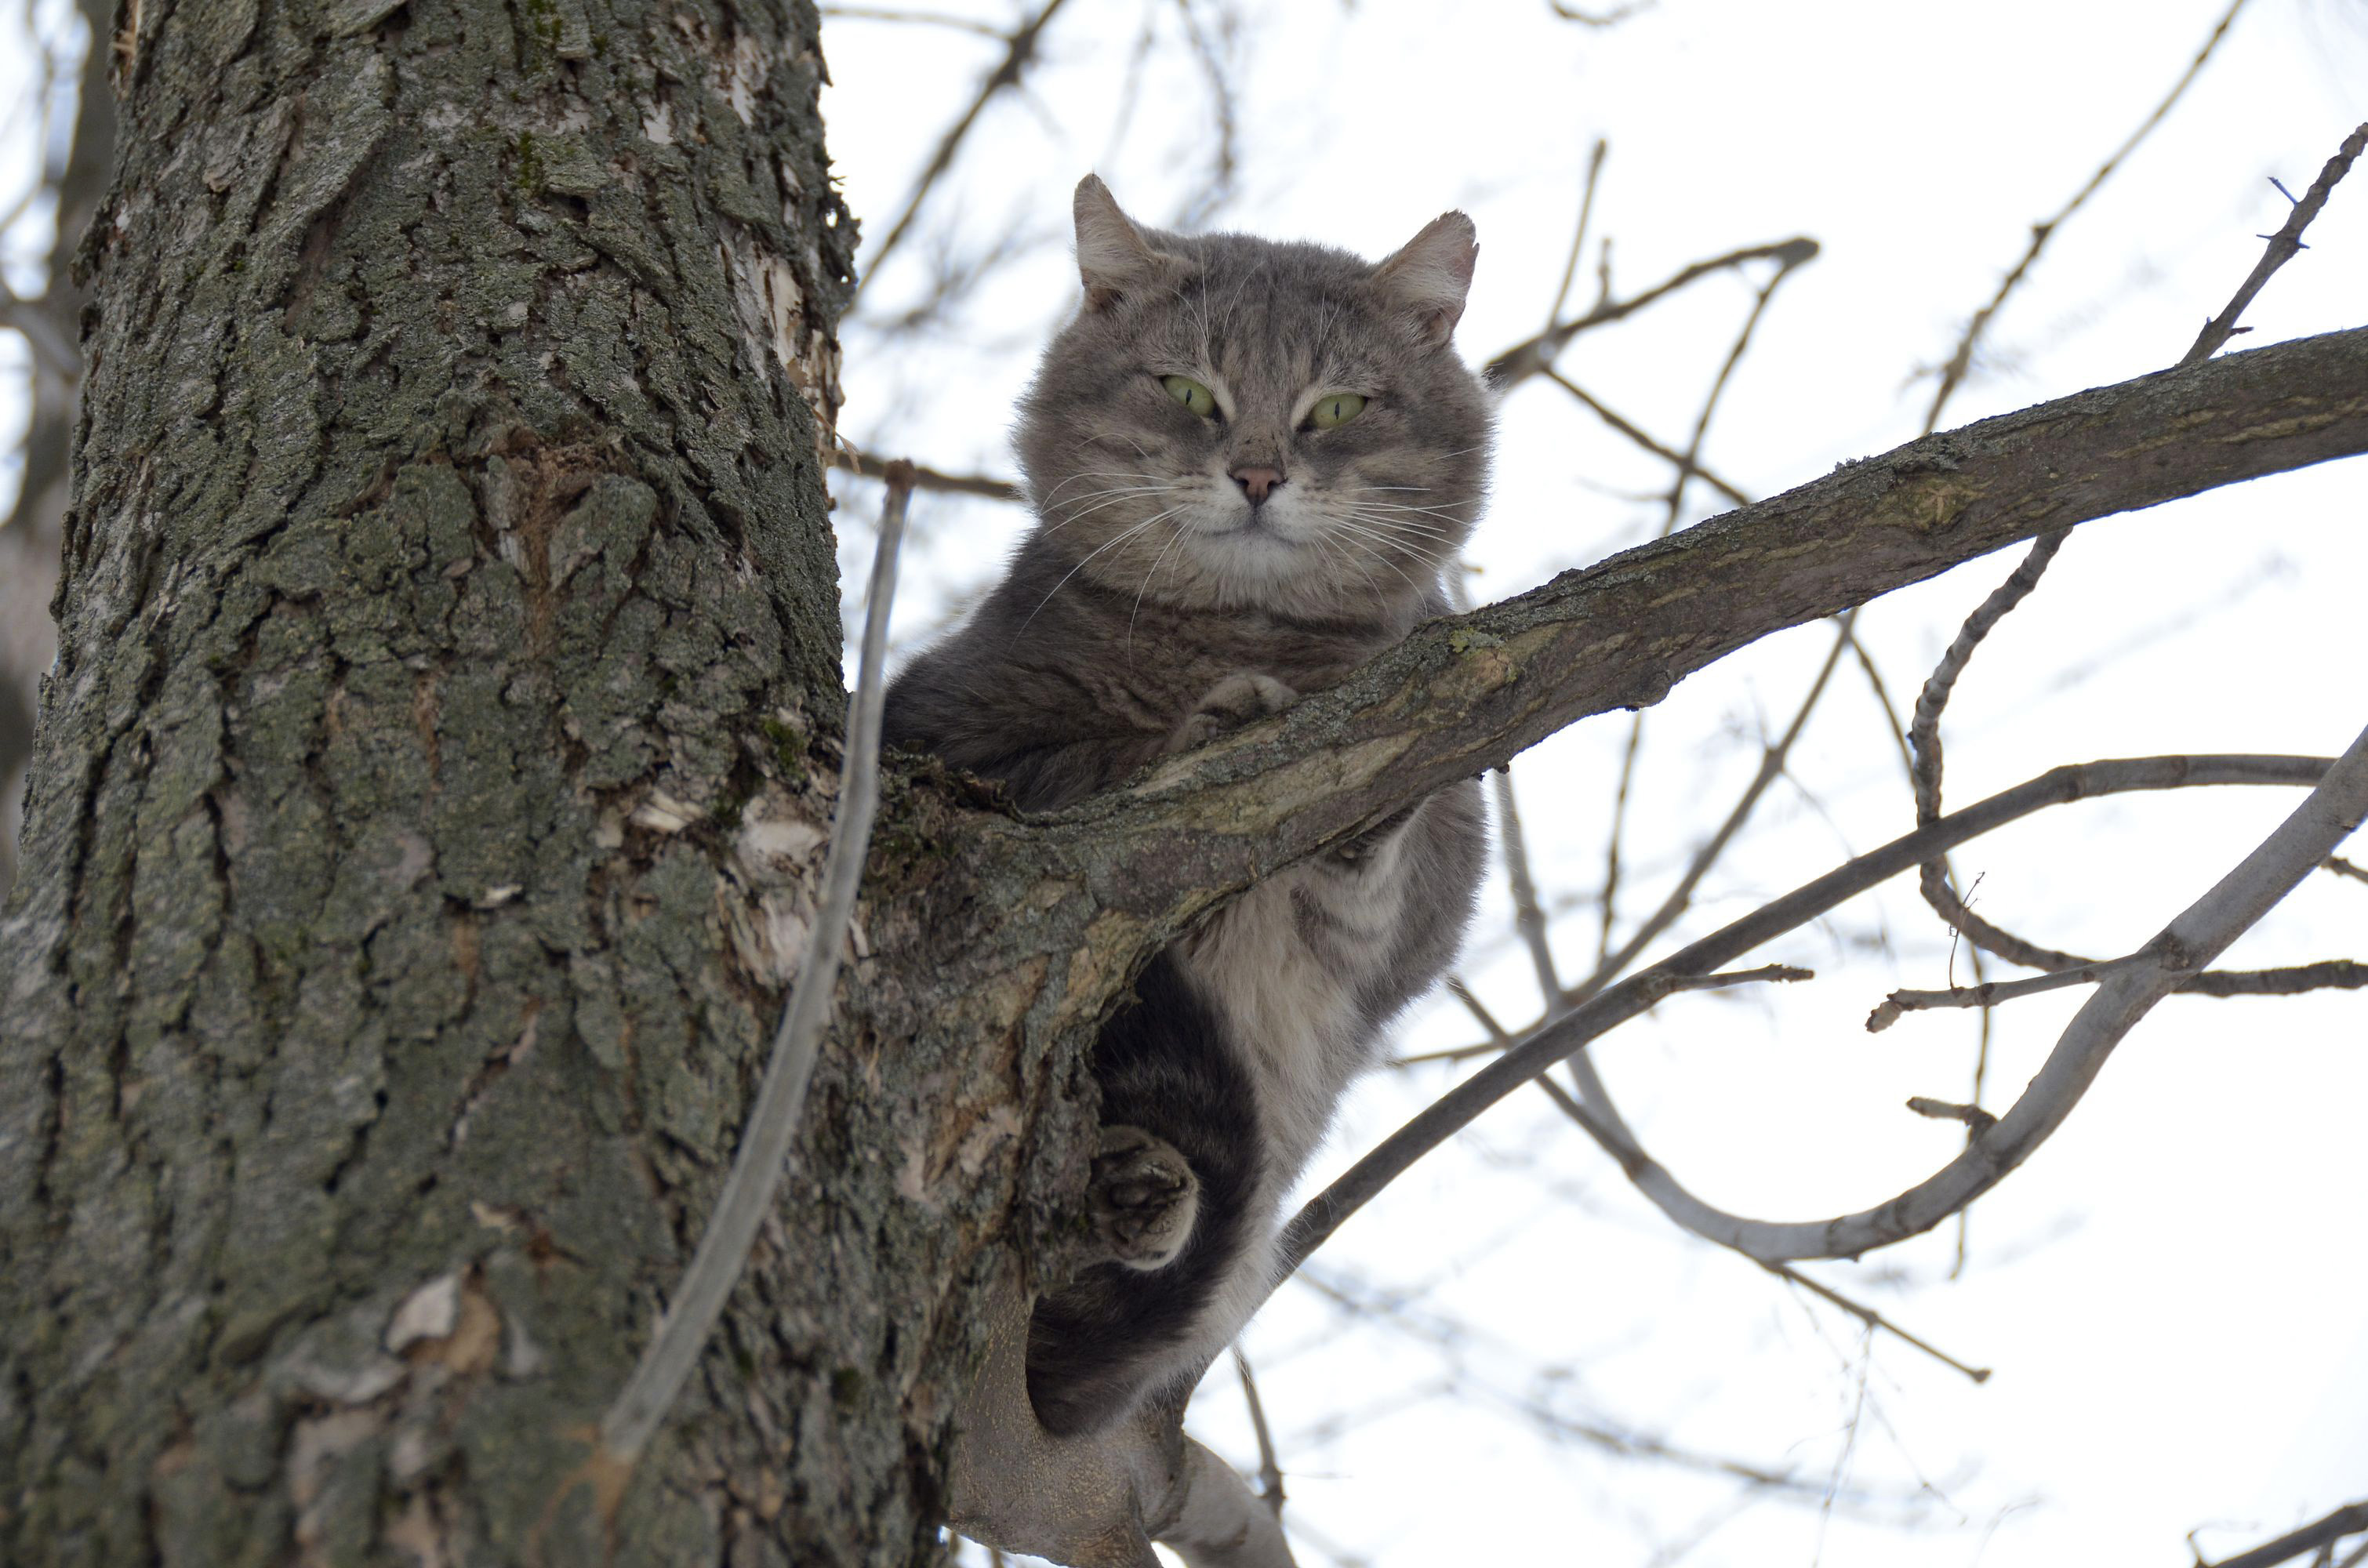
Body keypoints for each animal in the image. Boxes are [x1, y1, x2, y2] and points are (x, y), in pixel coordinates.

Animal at [881, 177, 1487, 1439]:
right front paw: (1204, 730)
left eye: (1336, 406)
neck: (1239, 633)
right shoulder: (948, 737)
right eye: (1188, 391)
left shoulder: (1406, 927)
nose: (1256, 475)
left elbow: (1365, 888)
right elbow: (1090, 763)